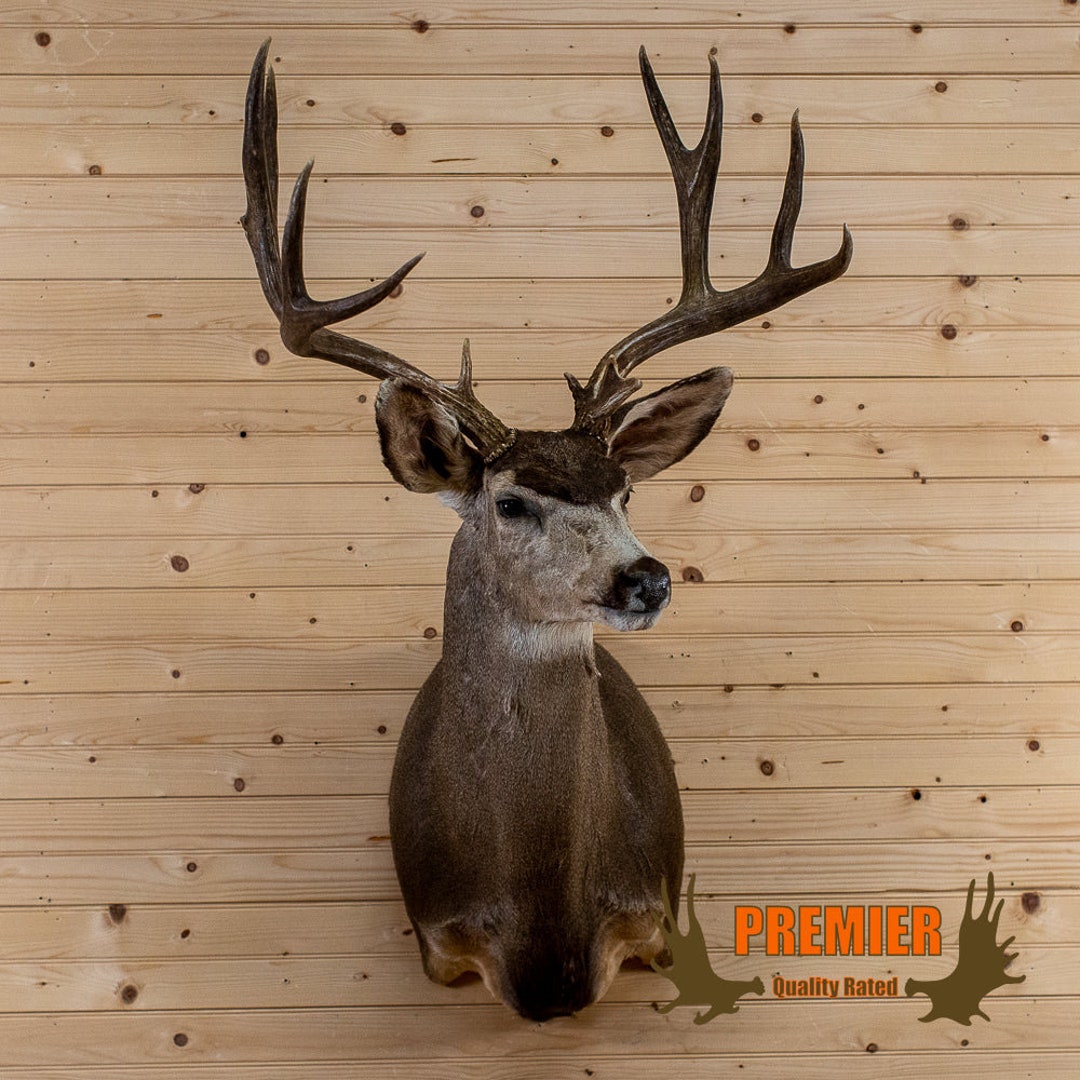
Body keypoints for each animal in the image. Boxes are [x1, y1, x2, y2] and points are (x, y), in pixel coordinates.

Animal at [241, 38, 851, 1022]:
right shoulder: (438, 940)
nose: (647, 578)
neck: (545, 915)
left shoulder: (653, 919)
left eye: (625, 491)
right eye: (511, 501)